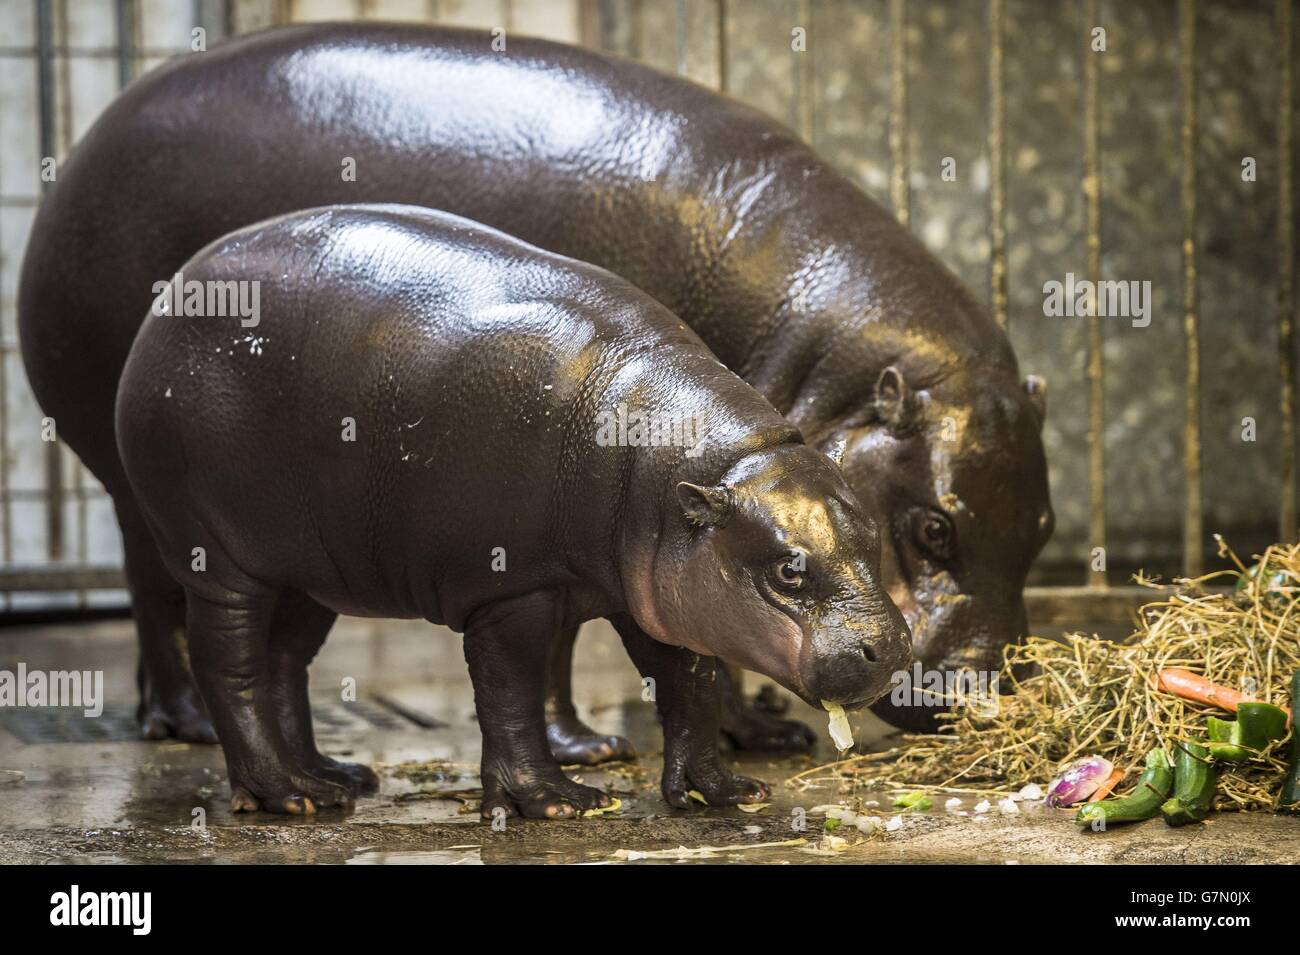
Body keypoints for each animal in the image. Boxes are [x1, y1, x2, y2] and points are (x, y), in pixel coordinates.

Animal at [18, 22, 1050, 748]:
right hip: (135, 462)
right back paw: (187, 721)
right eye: (932, 525)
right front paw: (584, 747)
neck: (822, 360)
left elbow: (703, 626)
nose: (977, 695)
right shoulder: (576, 490)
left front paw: (760, 734)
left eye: (1043, 528)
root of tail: (82, 150)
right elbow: (565, 636)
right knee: (154, 584)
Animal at [112, 203, 912, 816]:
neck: (680, 463)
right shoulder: (509, 590)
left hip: (314, 567)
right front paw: (557, 802)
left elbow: (692, 684)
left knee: (285, 662)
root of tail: (166, 301)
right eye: (787, 571)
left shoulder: (661, 587)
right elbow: (510, 692)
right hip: (217, 556)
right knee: (231, 664)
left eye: (872, 537)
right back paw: (286, 796)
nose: (895, 647)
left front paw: (722, 792)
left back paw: (335, 778)